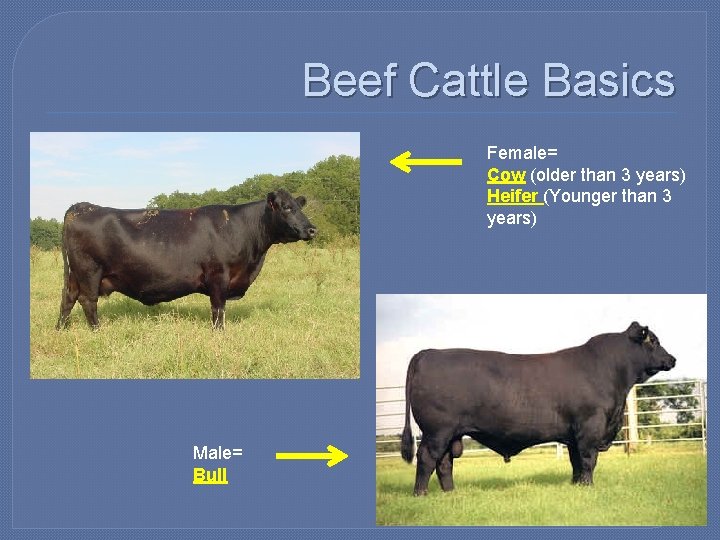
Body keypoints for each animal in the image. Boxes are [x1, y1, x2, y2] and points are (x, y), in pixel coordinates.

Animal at [56, 190, 316, 330]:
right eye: (286, 207)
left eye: (299, 206)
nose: (312, 229)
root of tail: (80, 207)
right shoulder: (218, 276)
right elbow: (218, 310)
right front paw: (219, 334)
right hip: (89, 271)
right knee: (88, 301)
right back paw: (97, 331)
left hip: (75, 275)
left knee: (68, 299)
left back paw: (61, 329)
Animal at [400, 322, 676, 495]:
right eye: (654, 341)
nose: (672, 359)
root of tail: (428, 353)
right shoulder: (590, 427)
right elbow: (588, 460)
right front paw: (588, 487)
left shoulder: (573, 434)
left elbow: (576, 462)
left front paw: (576, 486)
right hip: (437, 431)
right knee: (427, 459)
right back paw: (420, 494)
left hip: (450, 434)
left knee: (444, 464)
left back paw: (451, 493)